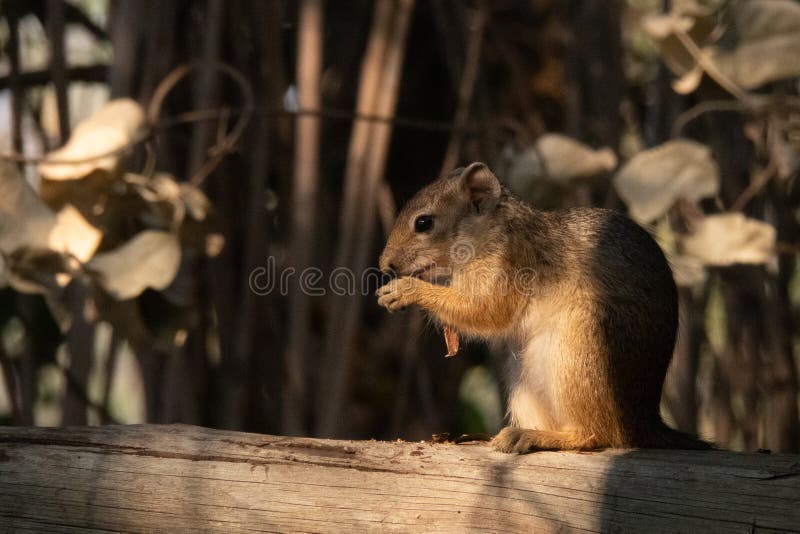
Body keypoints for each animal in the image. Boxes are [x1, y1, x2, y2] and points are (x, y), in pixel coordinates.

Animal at [376, 162, 713, 453]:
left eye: (424, 222)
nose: (385, 265)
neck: (491, 232)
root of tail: (643, 422)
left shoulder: (511, 263)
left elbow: (486, 311)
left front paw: (407, 290)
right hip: (525, 376)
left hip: (581, 349)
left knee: (601, 435)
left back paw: (539, 437)